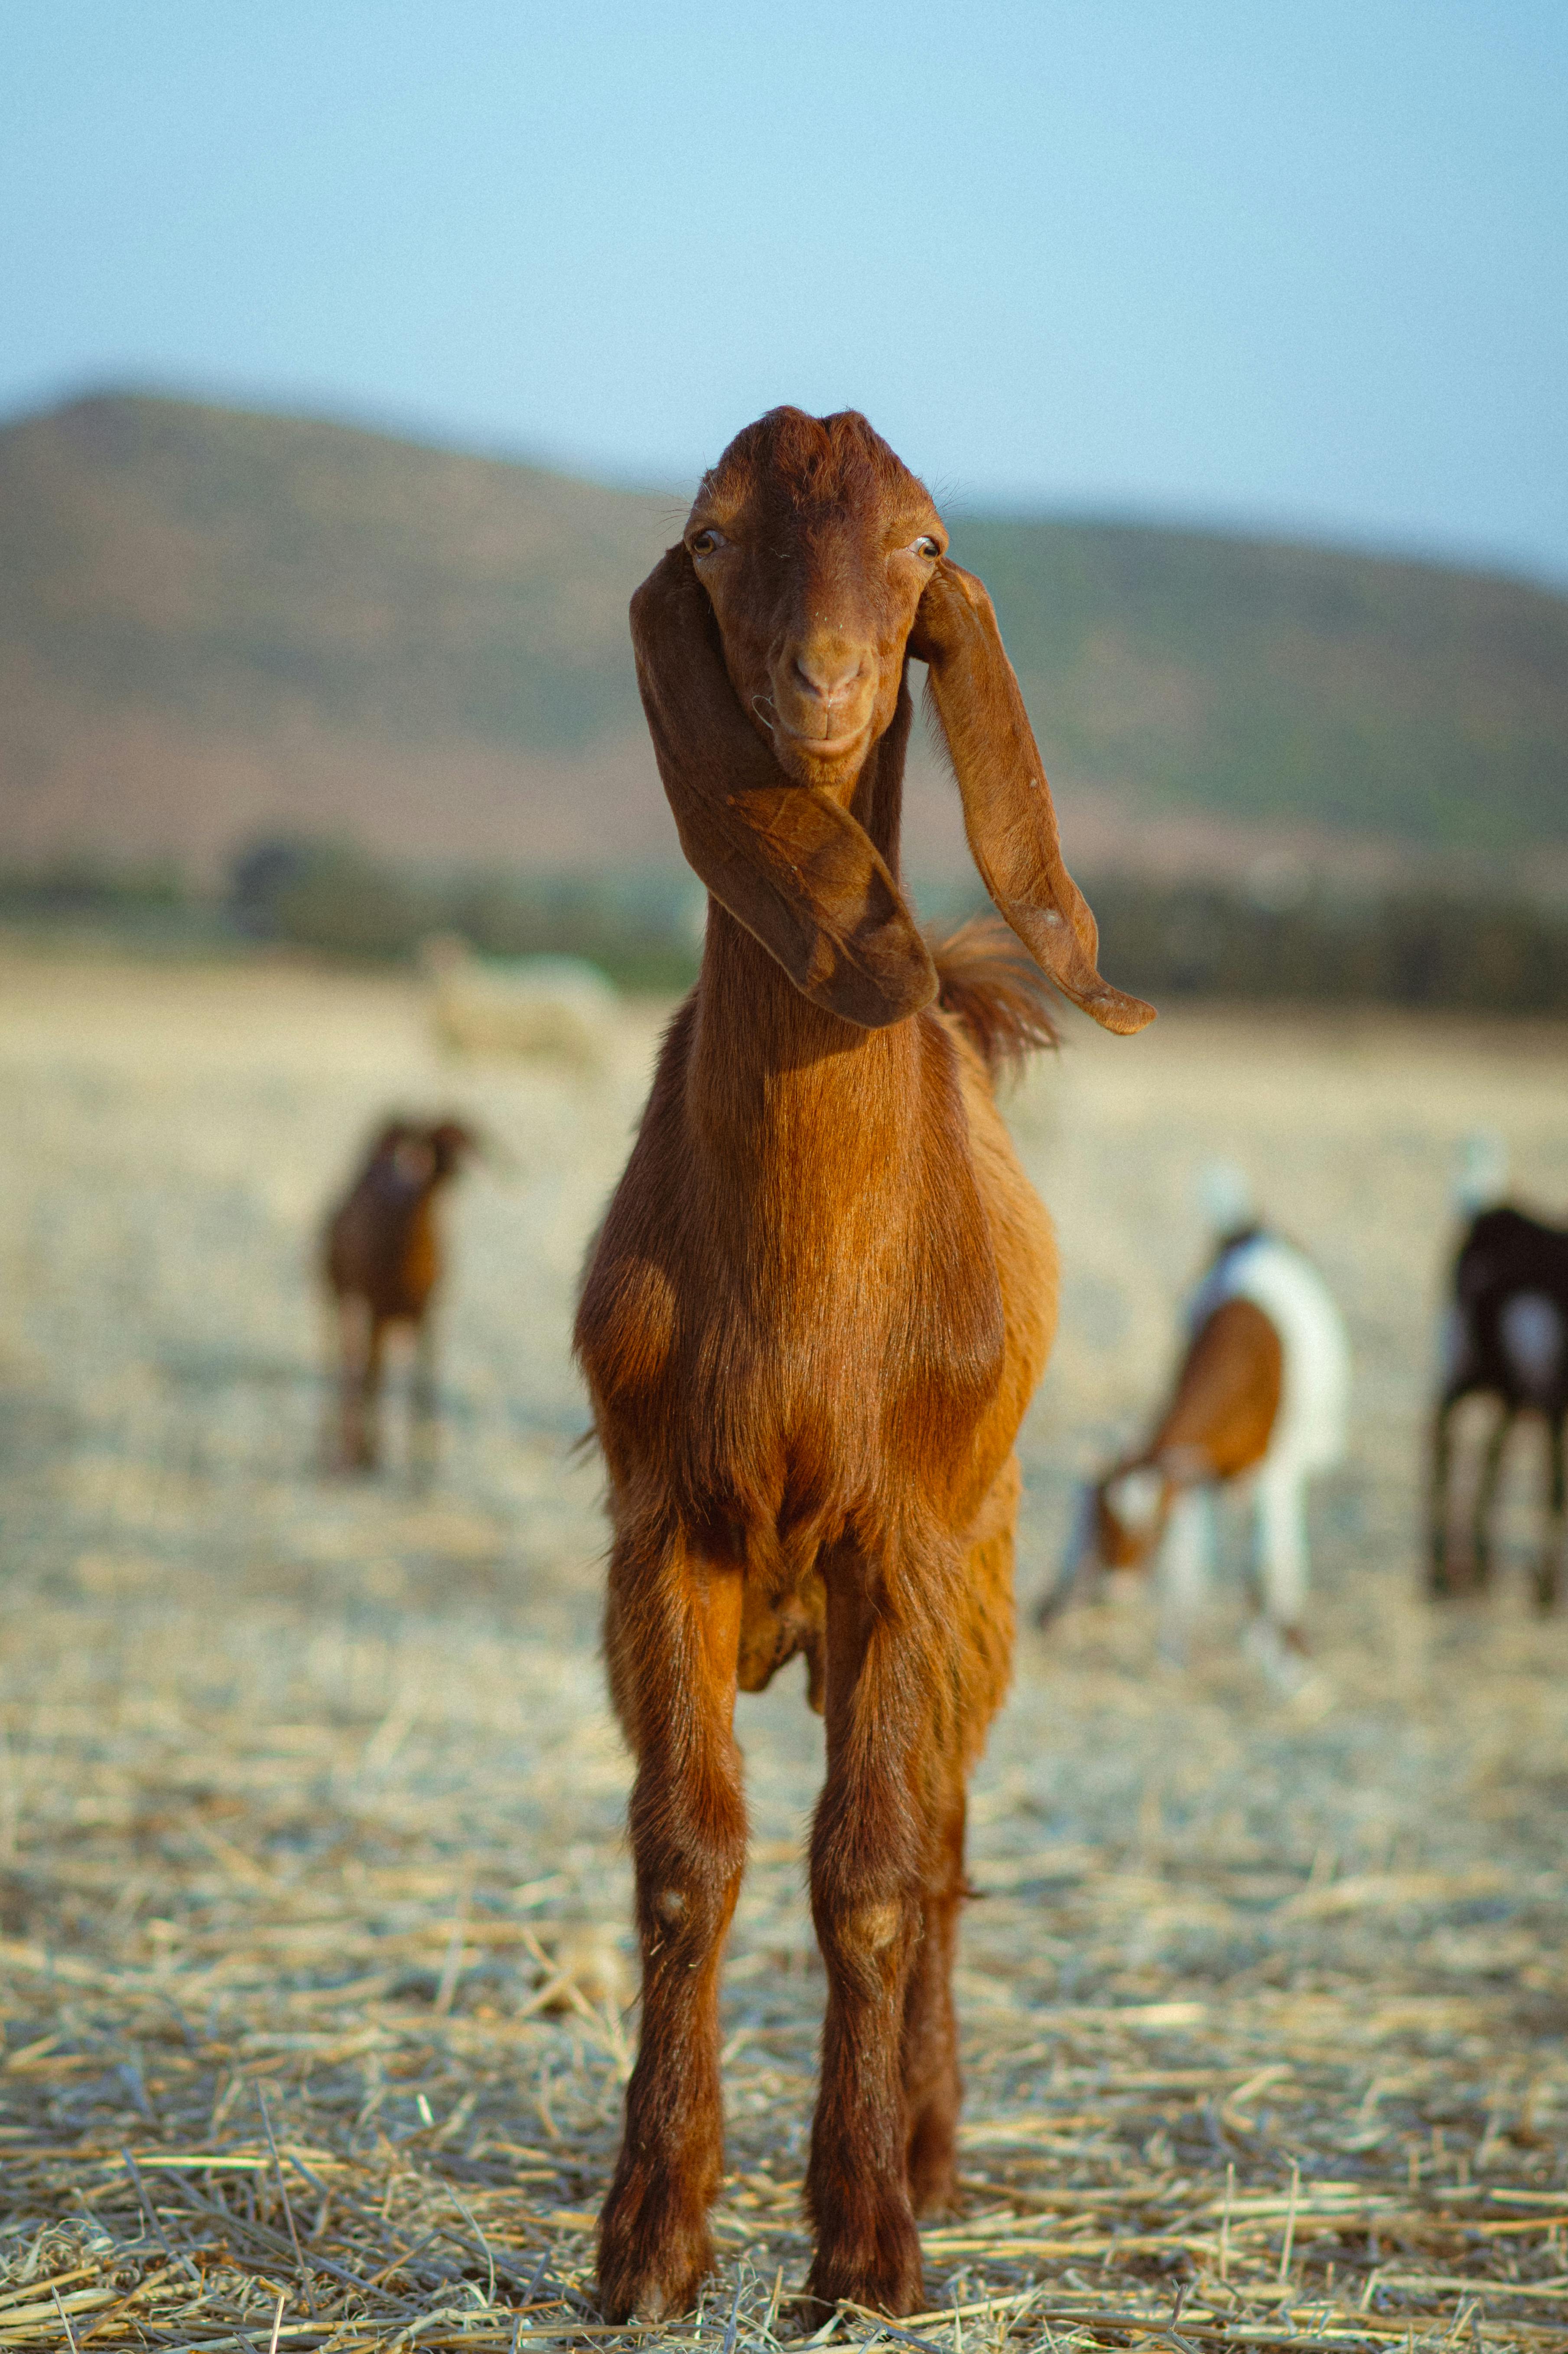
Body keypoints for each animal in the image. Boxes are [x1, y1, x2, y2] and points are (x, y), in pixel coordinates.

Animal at [322, 1116, 477, 1471]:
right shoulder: (379, 1309)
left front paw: (424, 1468)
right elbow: (375, 1377)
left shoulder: (427, 1314)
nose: (456, 1171)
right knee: (350, 1365)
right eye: (433, 1144)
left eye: (460, 1142)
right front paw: (371, 1455)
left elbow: (423, 1385)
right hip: (343, 1298)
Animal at [573, 406, 1153, 2322]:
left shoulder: (904, 1546)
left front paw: (865, 2244)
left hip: (977, 1579)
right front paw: (648, 2243)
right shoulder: (658, 1529)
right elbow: (687, 1859)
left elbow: (876, 1875)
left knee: (949, 1839)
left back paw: (930, 2139)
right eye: (709, 532)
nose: (819, 681)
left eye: (919, 544)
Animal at [1041, 1210, 1349, 1685]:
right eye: (1102, 1521)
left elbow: (1275, 1562)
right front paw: (1173, 1657)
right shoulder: (1193, 1478)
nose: (1117, 1588)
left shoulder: (1276, 1471)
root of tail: (1251, 1226)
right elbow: (1189, 1571)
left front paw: (1291, 1662)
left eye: (1154, 1526)